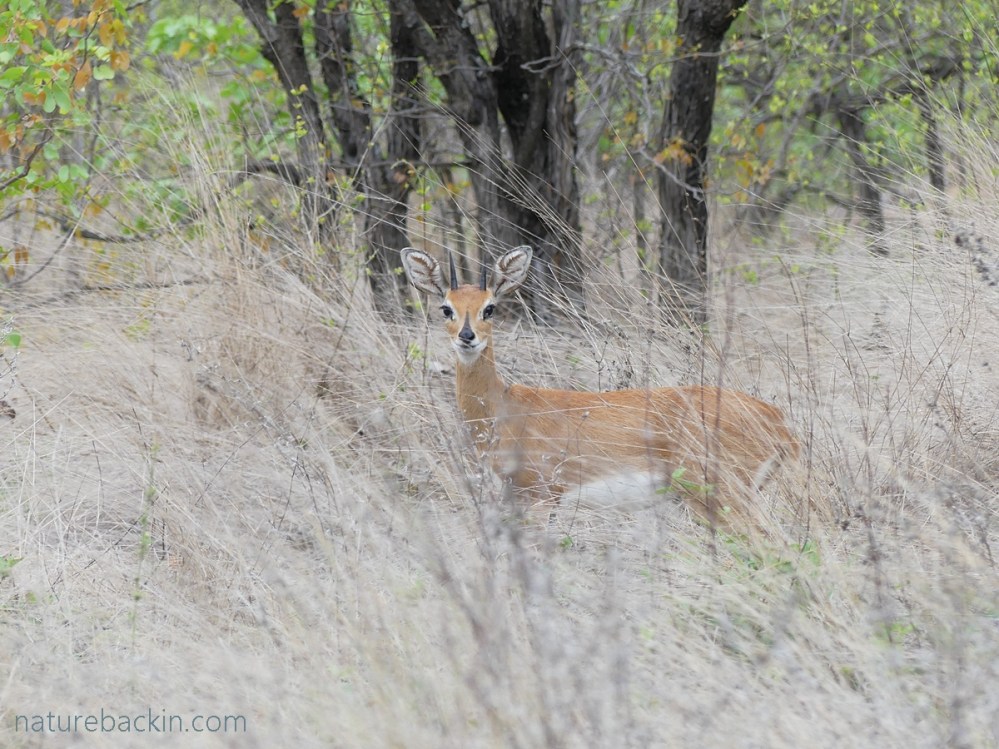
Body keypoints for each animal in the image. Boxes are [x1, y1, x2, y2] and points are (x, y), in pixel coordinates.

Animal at [401, 245, 799, 527]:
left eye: (490, 308)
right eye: (446, 308)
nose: (467, 337)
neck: (503, 409)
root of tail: (778, 423)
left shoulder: (541, 494)